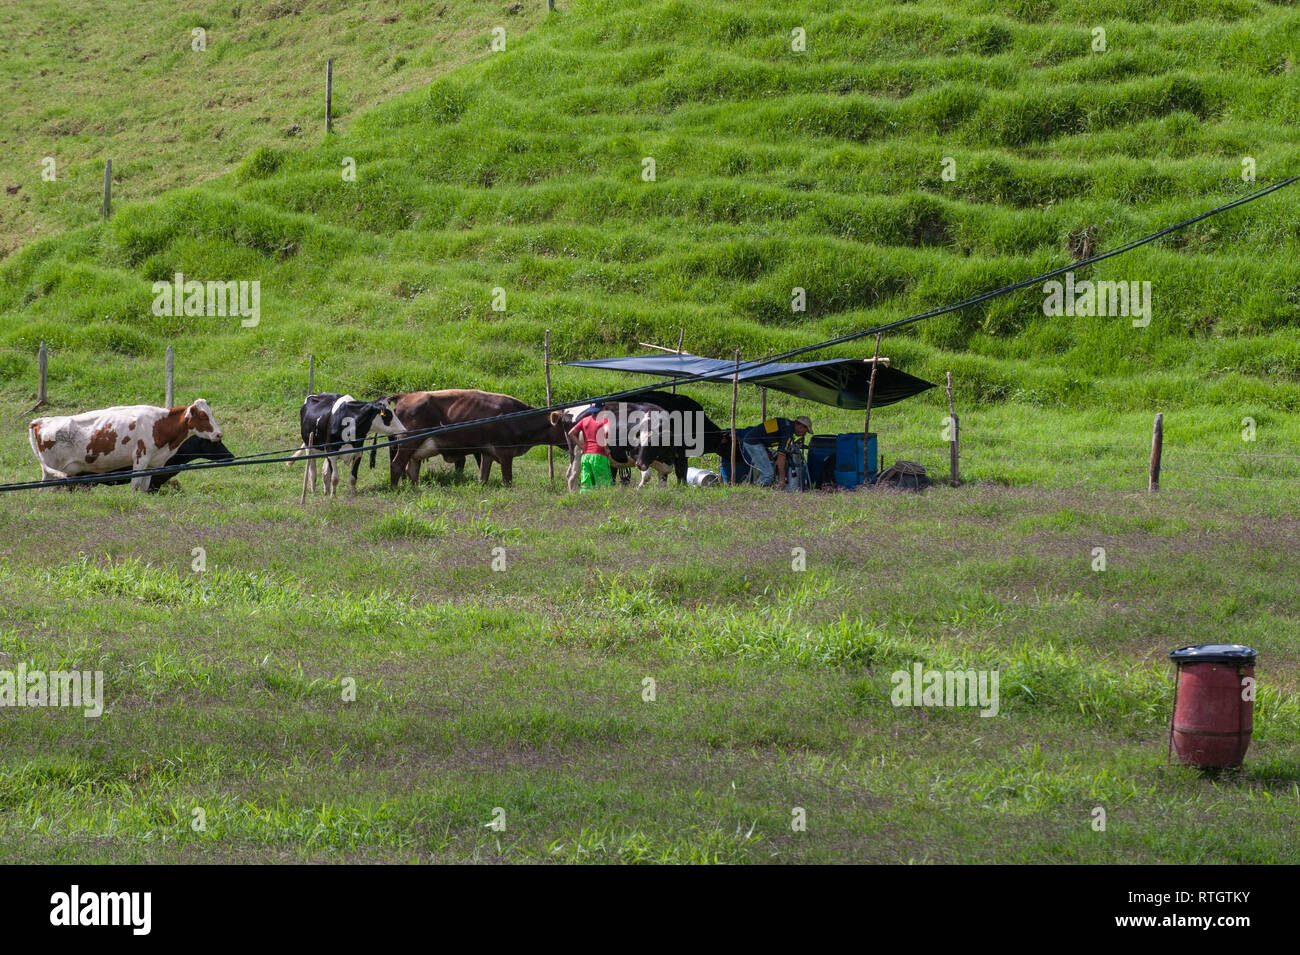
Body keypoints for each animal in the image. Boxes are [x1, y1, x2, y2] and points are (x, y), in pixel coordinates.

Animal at [28, 400, 223, 492]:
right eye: (203, 416)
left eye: (211, 413)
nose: (218, 434)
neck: (159, 424)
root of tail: (42, 420)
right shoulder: (140, 458)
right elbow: (135, 486)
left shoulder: (152, 464)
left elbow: (144, 487)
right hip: (50, 469)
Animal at [387, 389, 567, 487]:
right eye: (566, 424)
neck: (517, 418)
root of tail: (405, 396)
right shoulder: (505, 452)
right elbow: (507, 479)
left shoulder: (486, 453)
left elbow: (483, 477)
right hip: (408, 442)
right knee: (397, 465)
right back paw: (395, 488)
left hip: (415, 450)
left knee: (411, 469)